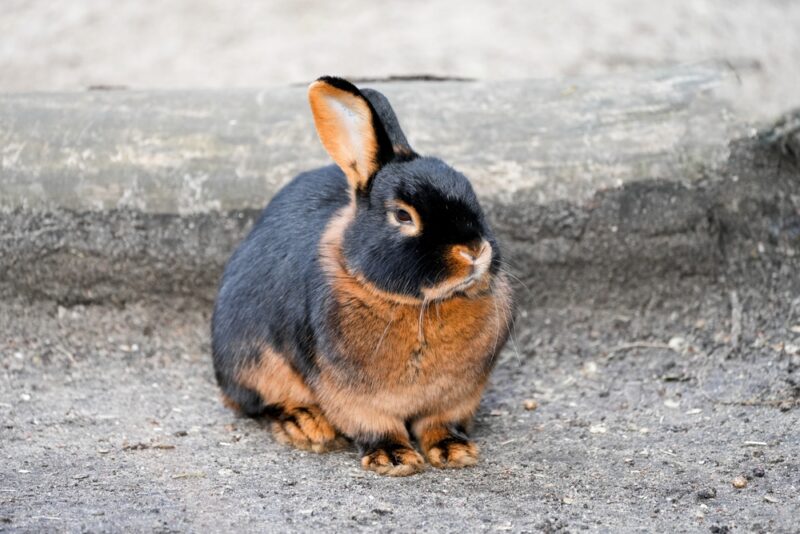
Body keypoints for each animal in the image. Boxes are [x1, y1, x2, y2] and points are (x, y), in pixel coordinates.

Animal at [211, 76, 513, 476]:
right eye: (402, 215)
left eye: (471, 194)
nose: (475, 250)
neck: (418, 306)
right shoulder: (349, 394)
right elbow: (376, 426)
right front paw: (394, 459)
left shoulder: (458, 396)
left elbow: (439, 424)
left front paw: (455, 451)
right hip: (250, 362)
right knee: (260, 404)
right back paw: (306, 426)